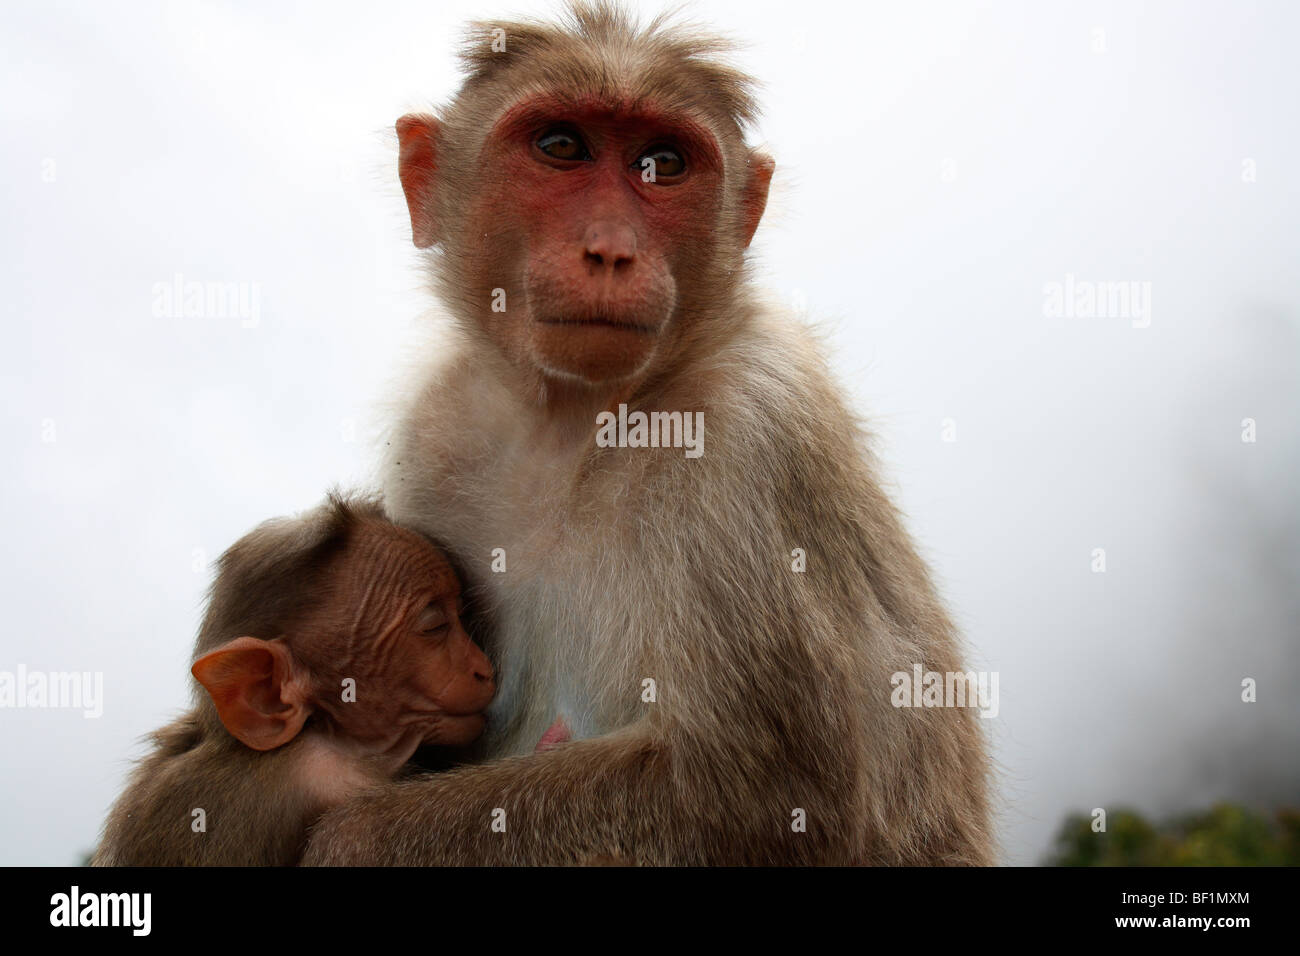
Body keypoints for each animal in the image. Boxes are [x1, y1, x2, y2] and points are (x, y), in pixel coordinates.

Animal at [302, 1, 993, 866]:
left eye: (662, 163)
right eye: (561, 147)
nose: (611, 250)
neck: (580, 420)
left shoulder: (747, 433)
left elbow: (765, 799)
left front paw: (342, 837)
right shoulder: (438, 428)